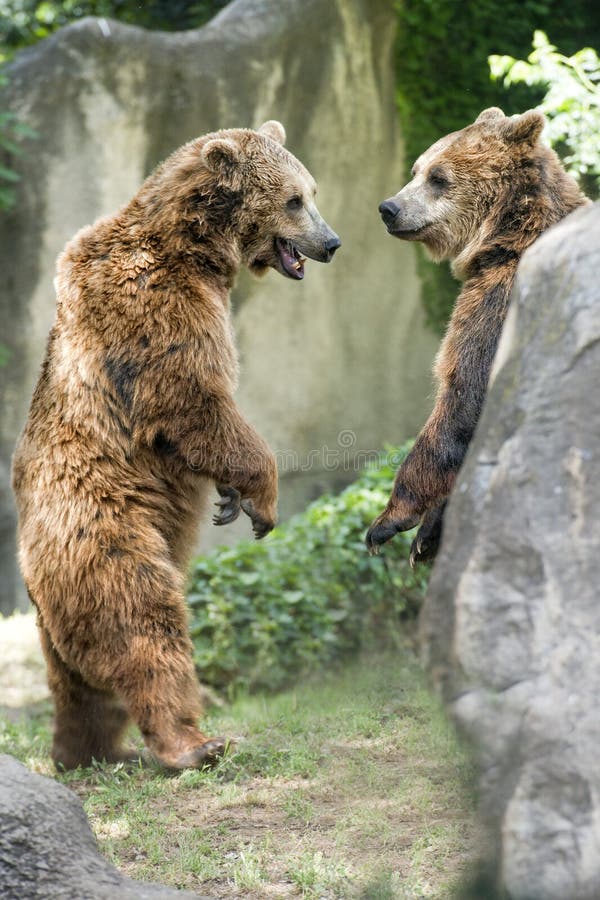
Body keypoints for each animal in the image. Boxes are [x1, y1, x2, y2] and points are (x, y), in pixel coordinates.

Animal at [12, 120, 340, 771]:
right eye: (295, 199)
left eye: (311, 190)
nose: (332, 241)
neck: (197, 249)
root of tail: (29, 574)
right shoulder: (157, 308)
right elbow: (194, 402)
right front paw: (260, 499)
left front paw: (230, 501)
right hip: (102, 525)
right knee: (139, 619)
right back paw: (193, 741)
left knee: (79, 683)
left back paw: (84, 750)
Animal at [366, 107, 589, 563]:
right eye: (416, 169)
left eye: (438, 177)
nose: (389, 208)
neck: (502, 237)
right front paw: (427, 535)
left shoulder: (497, 307)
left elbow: (462, 400)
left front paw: (390, 522)